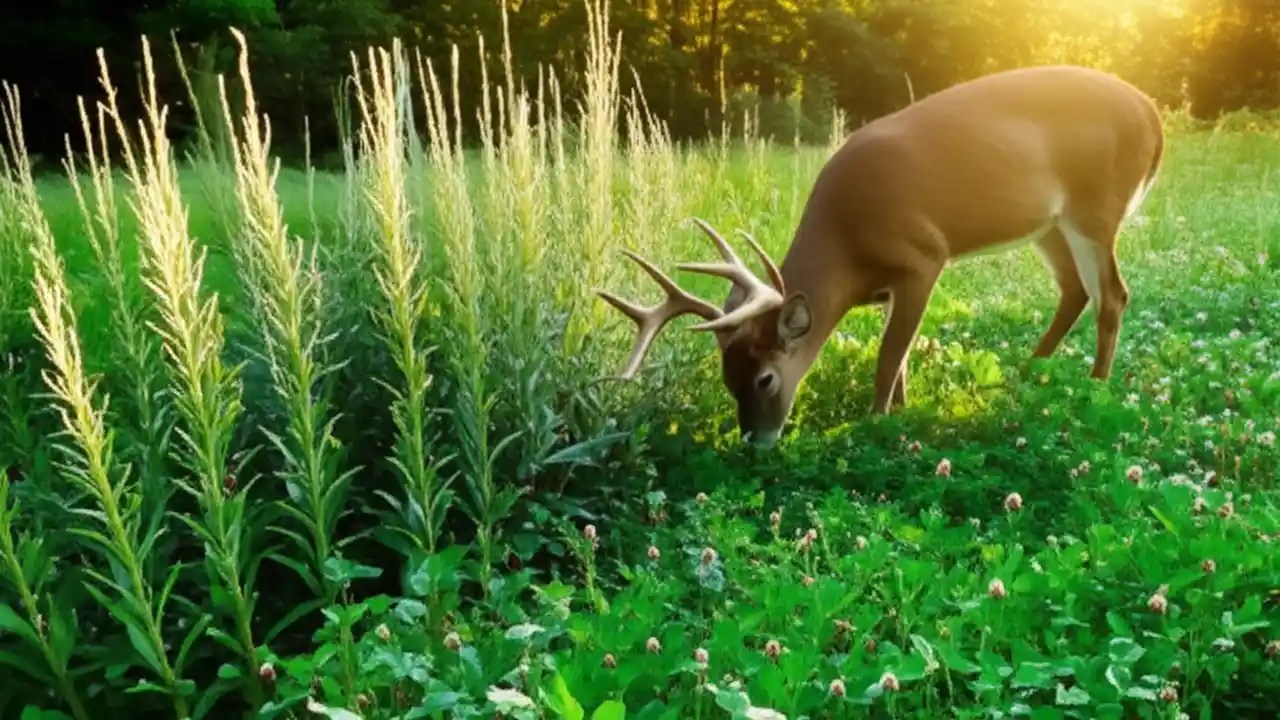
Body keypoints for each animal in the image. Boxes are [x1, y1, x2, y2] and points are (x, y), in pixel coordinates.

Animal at [597, 65, 1166, 447]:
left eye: (765, 378)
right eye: (726, 378)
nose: (755, 442)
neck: (848, 245)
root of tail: (1152, 113)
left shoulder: (924, 256)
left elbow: (889, 355)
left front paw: (875, 421)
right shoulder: (891, 284)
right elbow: (904, 359)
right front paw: (903, 410)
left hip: (1095, 208)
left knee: (1112, 295)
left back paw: (1094, 388)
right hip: (1049, 224)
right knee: (1074, 290)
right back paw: (1029, 371)